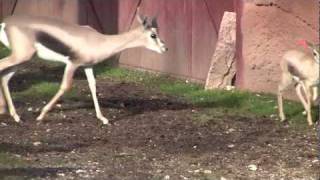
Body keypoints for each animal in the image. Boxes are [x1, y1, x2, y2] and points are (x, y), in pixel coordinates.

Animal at [0, 14, 169, 124]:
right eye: (153, 35)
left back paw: (14, 115)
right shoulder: (73, 64)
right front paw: (41, 115)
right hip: (21, 56)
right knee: (2, 68)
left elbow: (93, 86)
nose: (165, 48)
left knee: (5, 77)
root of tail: (5, 23)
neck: (99, 41)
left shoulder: (88, 66)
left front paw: (103, 118)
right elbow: (65, 86)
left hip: (24, 59)